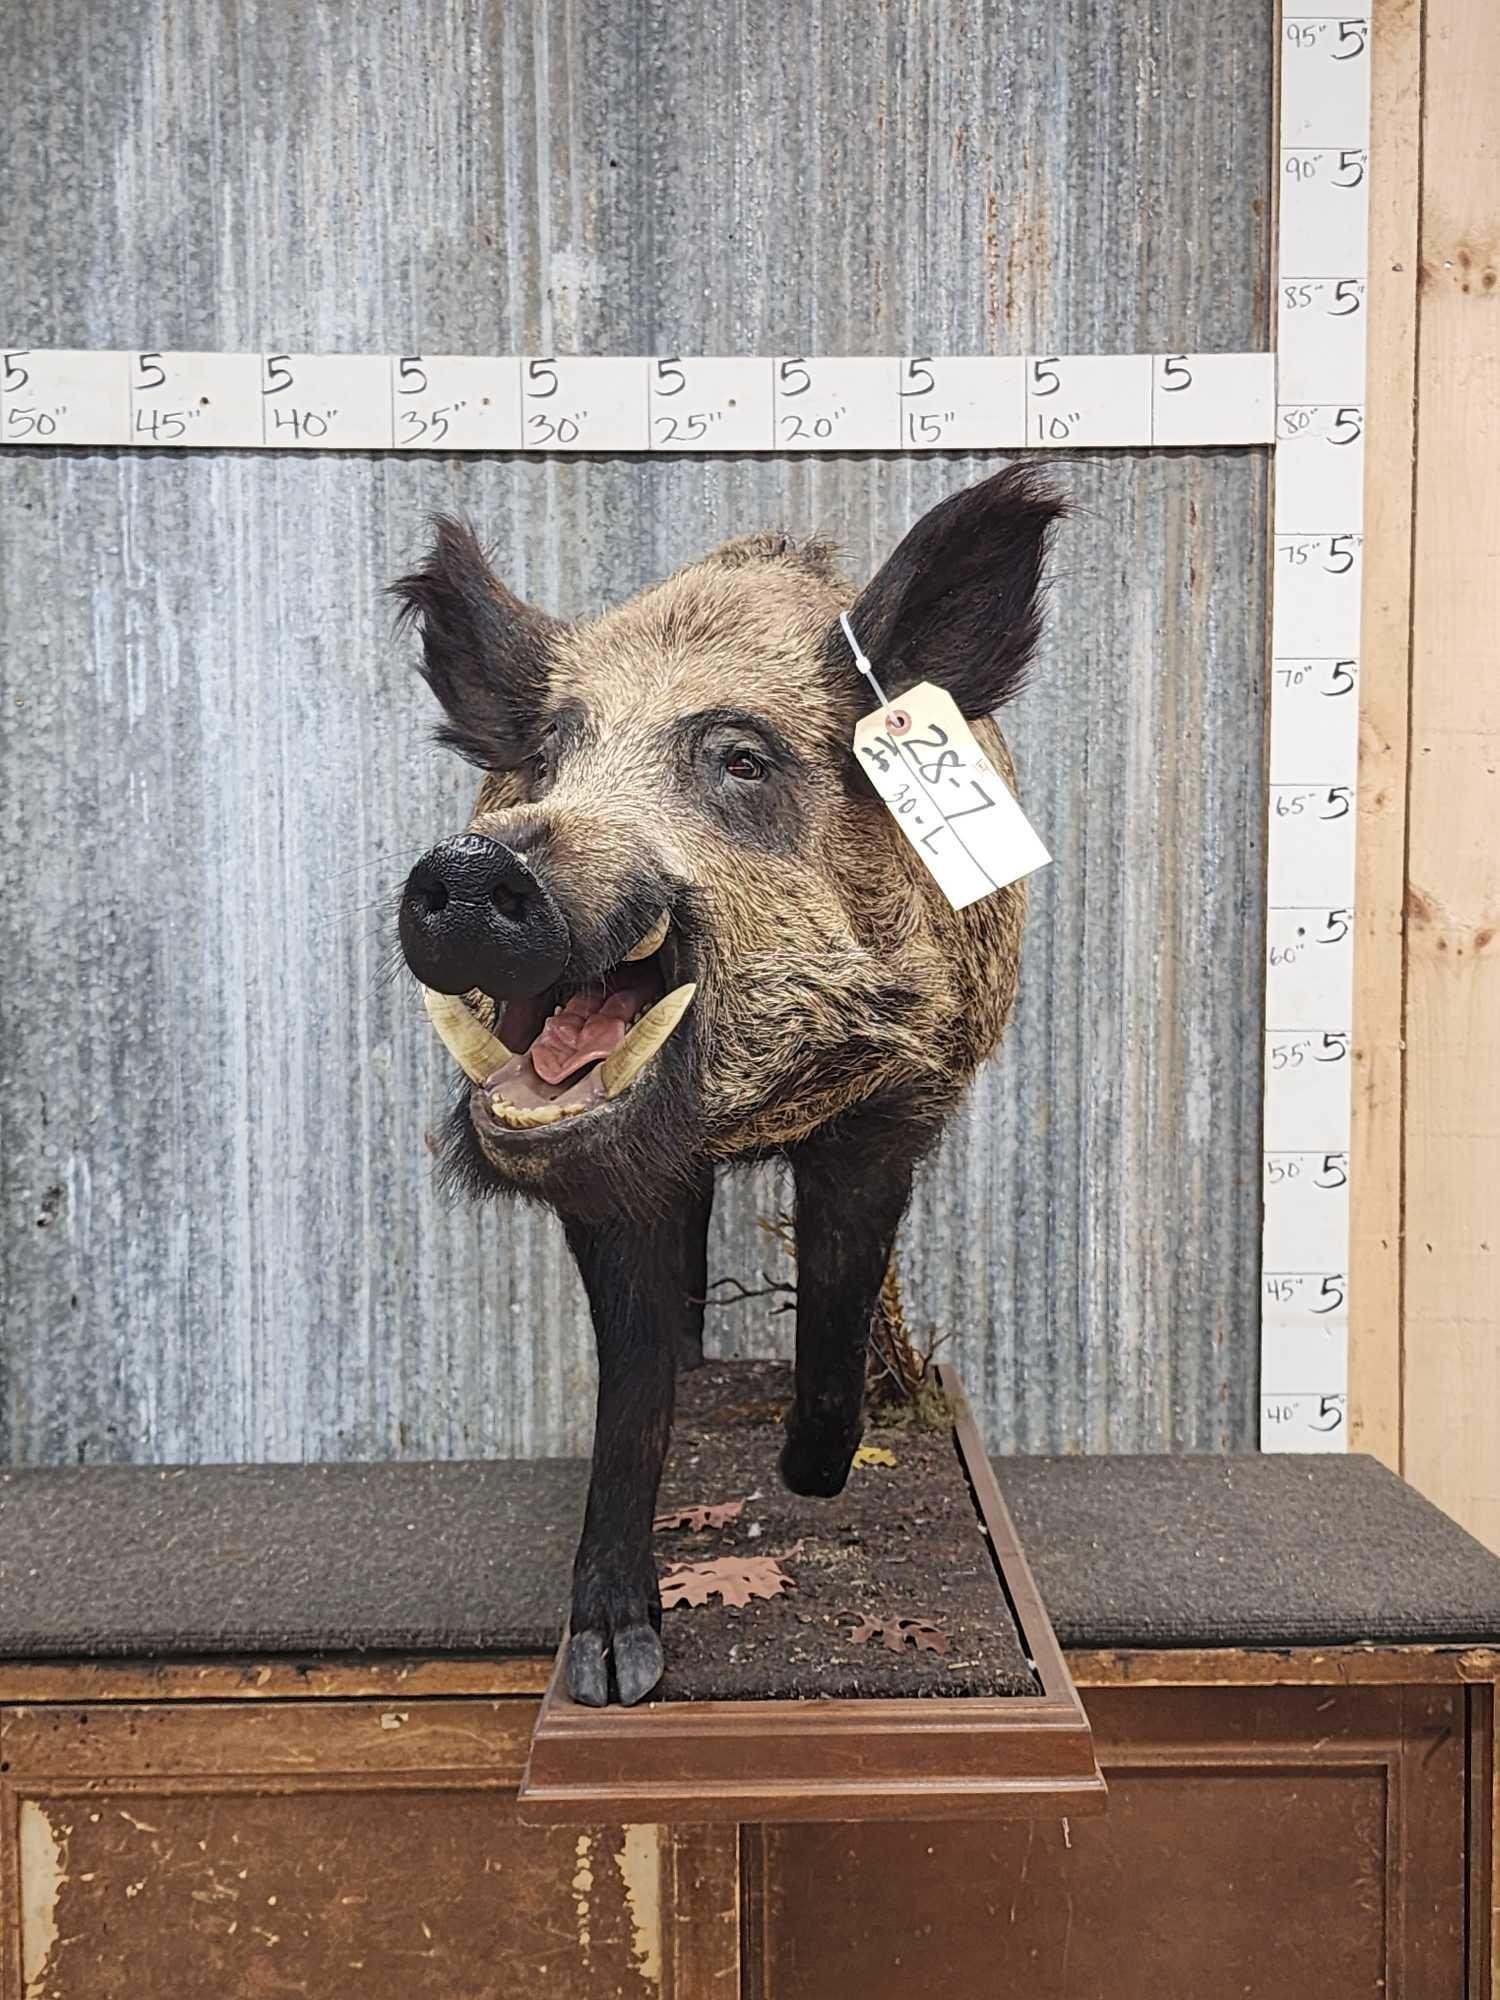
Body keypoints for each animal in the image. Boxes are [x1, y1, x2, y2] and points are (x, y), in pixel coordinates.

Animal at [393, 467, 1061, 1705]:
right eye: (549, 751)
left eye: (739, 758)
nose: (474, 864)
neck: (753, 1108)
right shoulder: (613, 1184)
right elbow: (634, 1375)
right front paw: (612, 1673)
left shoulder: (894, 1100)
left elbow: (843, 1281)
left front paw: (813, 1473)